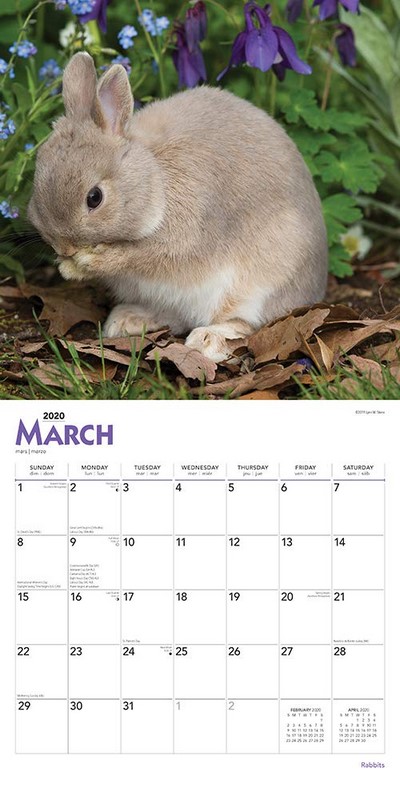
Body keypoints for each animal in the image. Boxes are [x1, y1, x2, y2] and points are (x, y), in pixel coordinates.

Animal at [28, 52, 328, 362]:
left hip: (260, 284)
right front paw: (67, 267)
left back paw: (208, 341)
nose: (64, 248)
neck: (155, 178)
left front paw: (86, 263)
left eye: (94, 197)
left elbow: (140, 255)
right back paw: (128, 320)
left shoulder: (181, 237)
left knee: (244, 323)